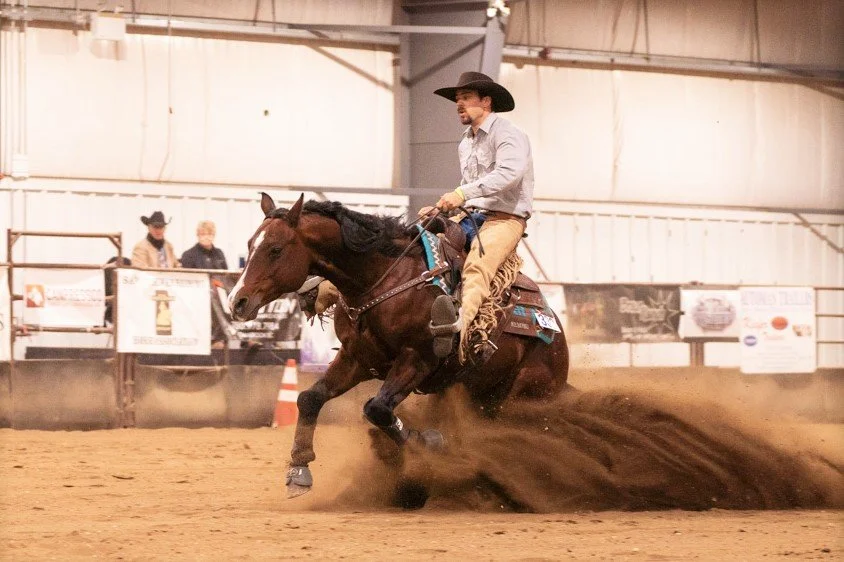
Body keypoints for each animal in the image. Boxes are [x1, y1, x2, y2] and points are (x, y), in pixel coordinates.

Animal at [228, 193, 570, 498]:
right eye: (249, 245)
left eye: (275, 249)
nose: (237, 301)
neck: (381, 279)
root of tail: (557, 337)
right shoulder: (358, 358)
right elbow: (309, 398)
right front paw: (298, 470)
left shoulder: (416, 360)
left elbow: (376, 408)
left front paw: (431, 443)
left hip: (523, 395)